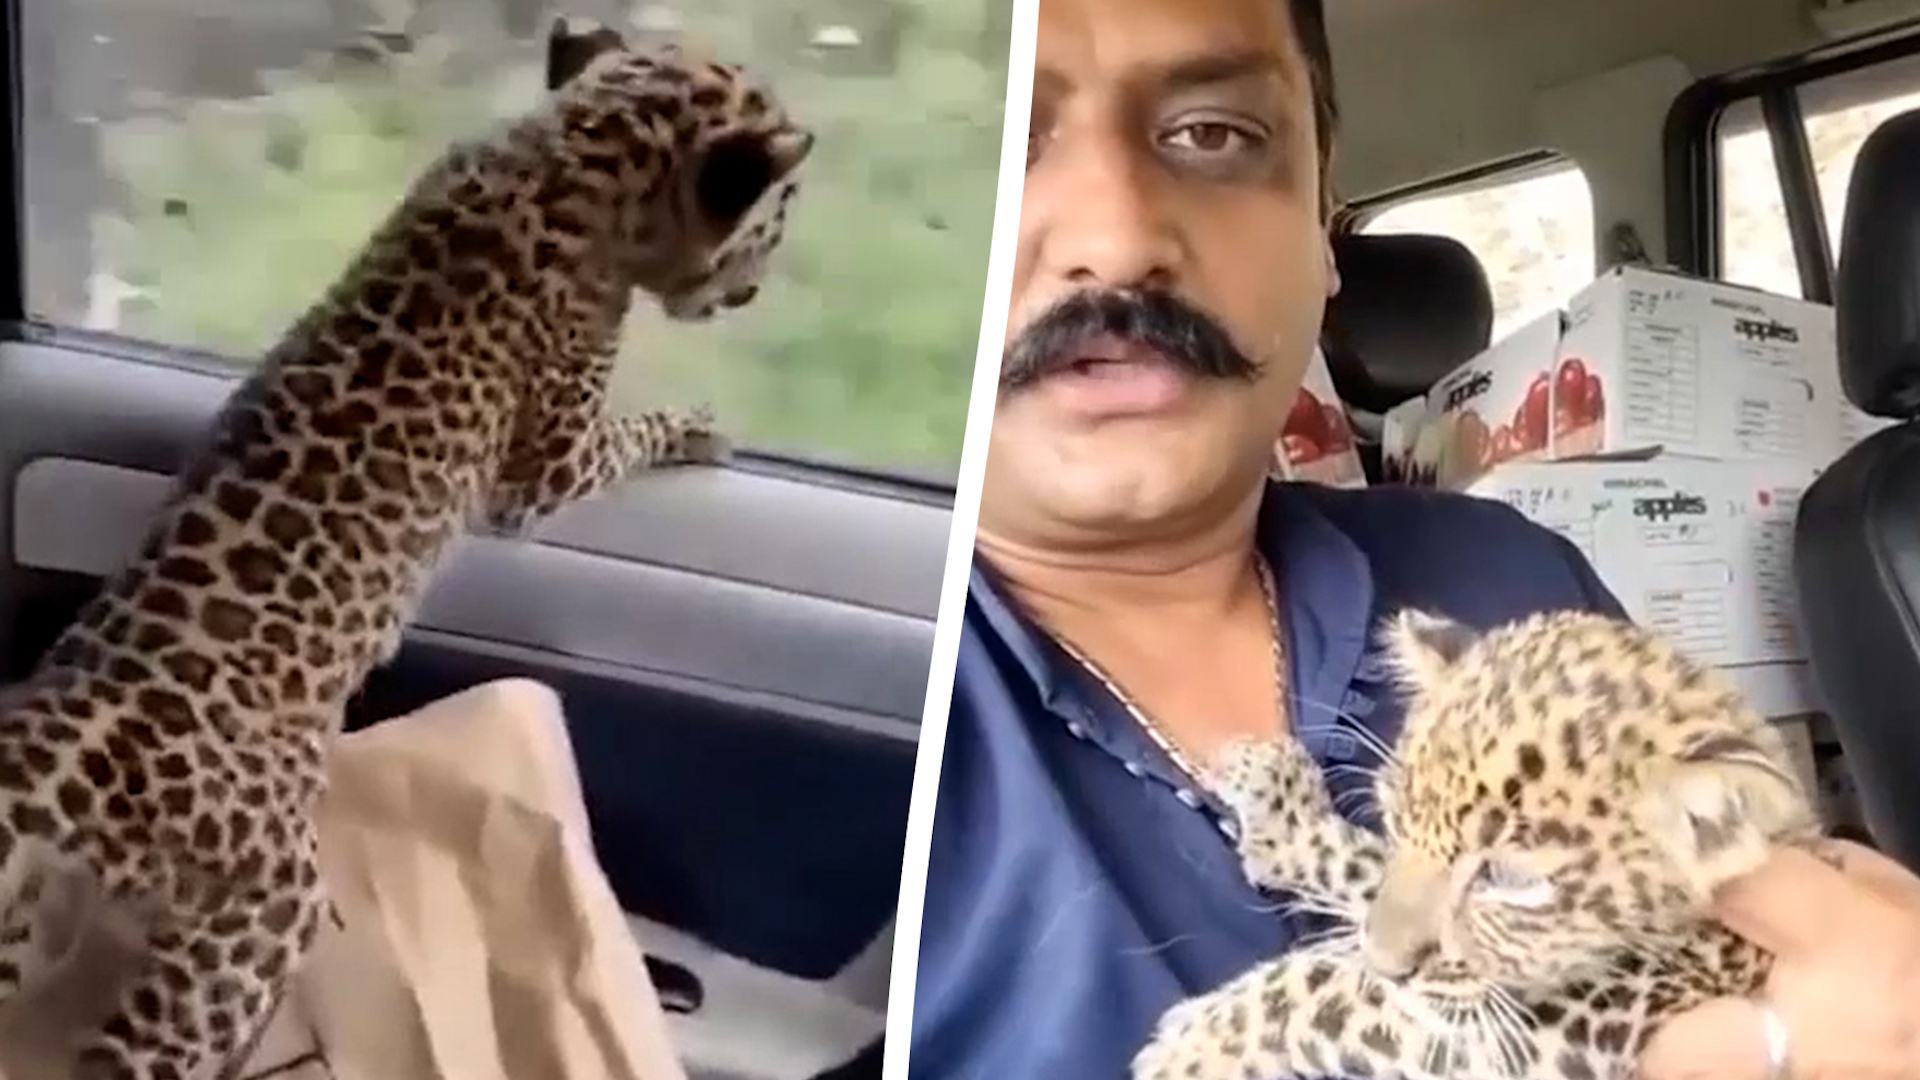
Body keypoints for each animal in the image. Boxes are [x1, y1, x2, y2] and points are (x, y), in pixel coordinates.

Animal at [0, 16, 812, 1080]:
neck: (577, 143)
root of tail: (56, 738)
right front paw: (701, 426)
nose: (752, 292)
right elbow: (634, 432)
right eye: (777, 218)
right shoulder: (550, 462)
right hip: (251, 928)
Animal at [1131, 607, 1823, 1080]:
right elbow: (1365, 878)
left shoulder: (1566, 1033)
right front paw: (1276, 803)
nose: (1386, 960)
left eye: (1509, 881)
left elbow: (1340, 992)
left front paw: (1191, 1045)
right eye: (1397, 821)